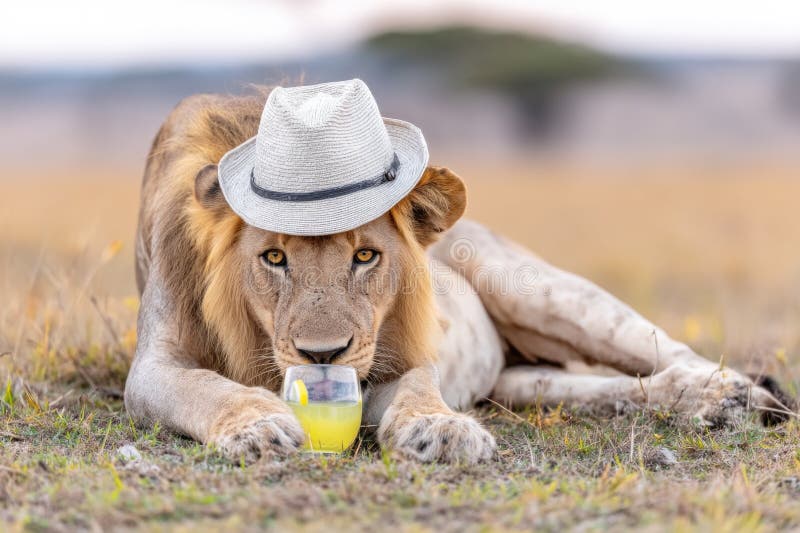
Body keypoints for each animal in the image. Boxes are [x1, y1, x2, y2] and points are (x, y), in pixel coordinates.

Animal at [125, 89, 791, 464]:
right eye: (273, 258)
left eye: (365, 256)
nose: (323, 356)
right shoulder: (154, 365)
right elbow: (208, 387)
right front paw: (259, 427)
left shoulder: (396, 353)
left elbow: (420, 389)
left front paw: (442, 432)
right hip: (522, 379)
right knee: (601, 387)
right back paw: (702, 404)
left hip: (538, 287)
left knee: (670, 351)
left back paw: (734, 397)